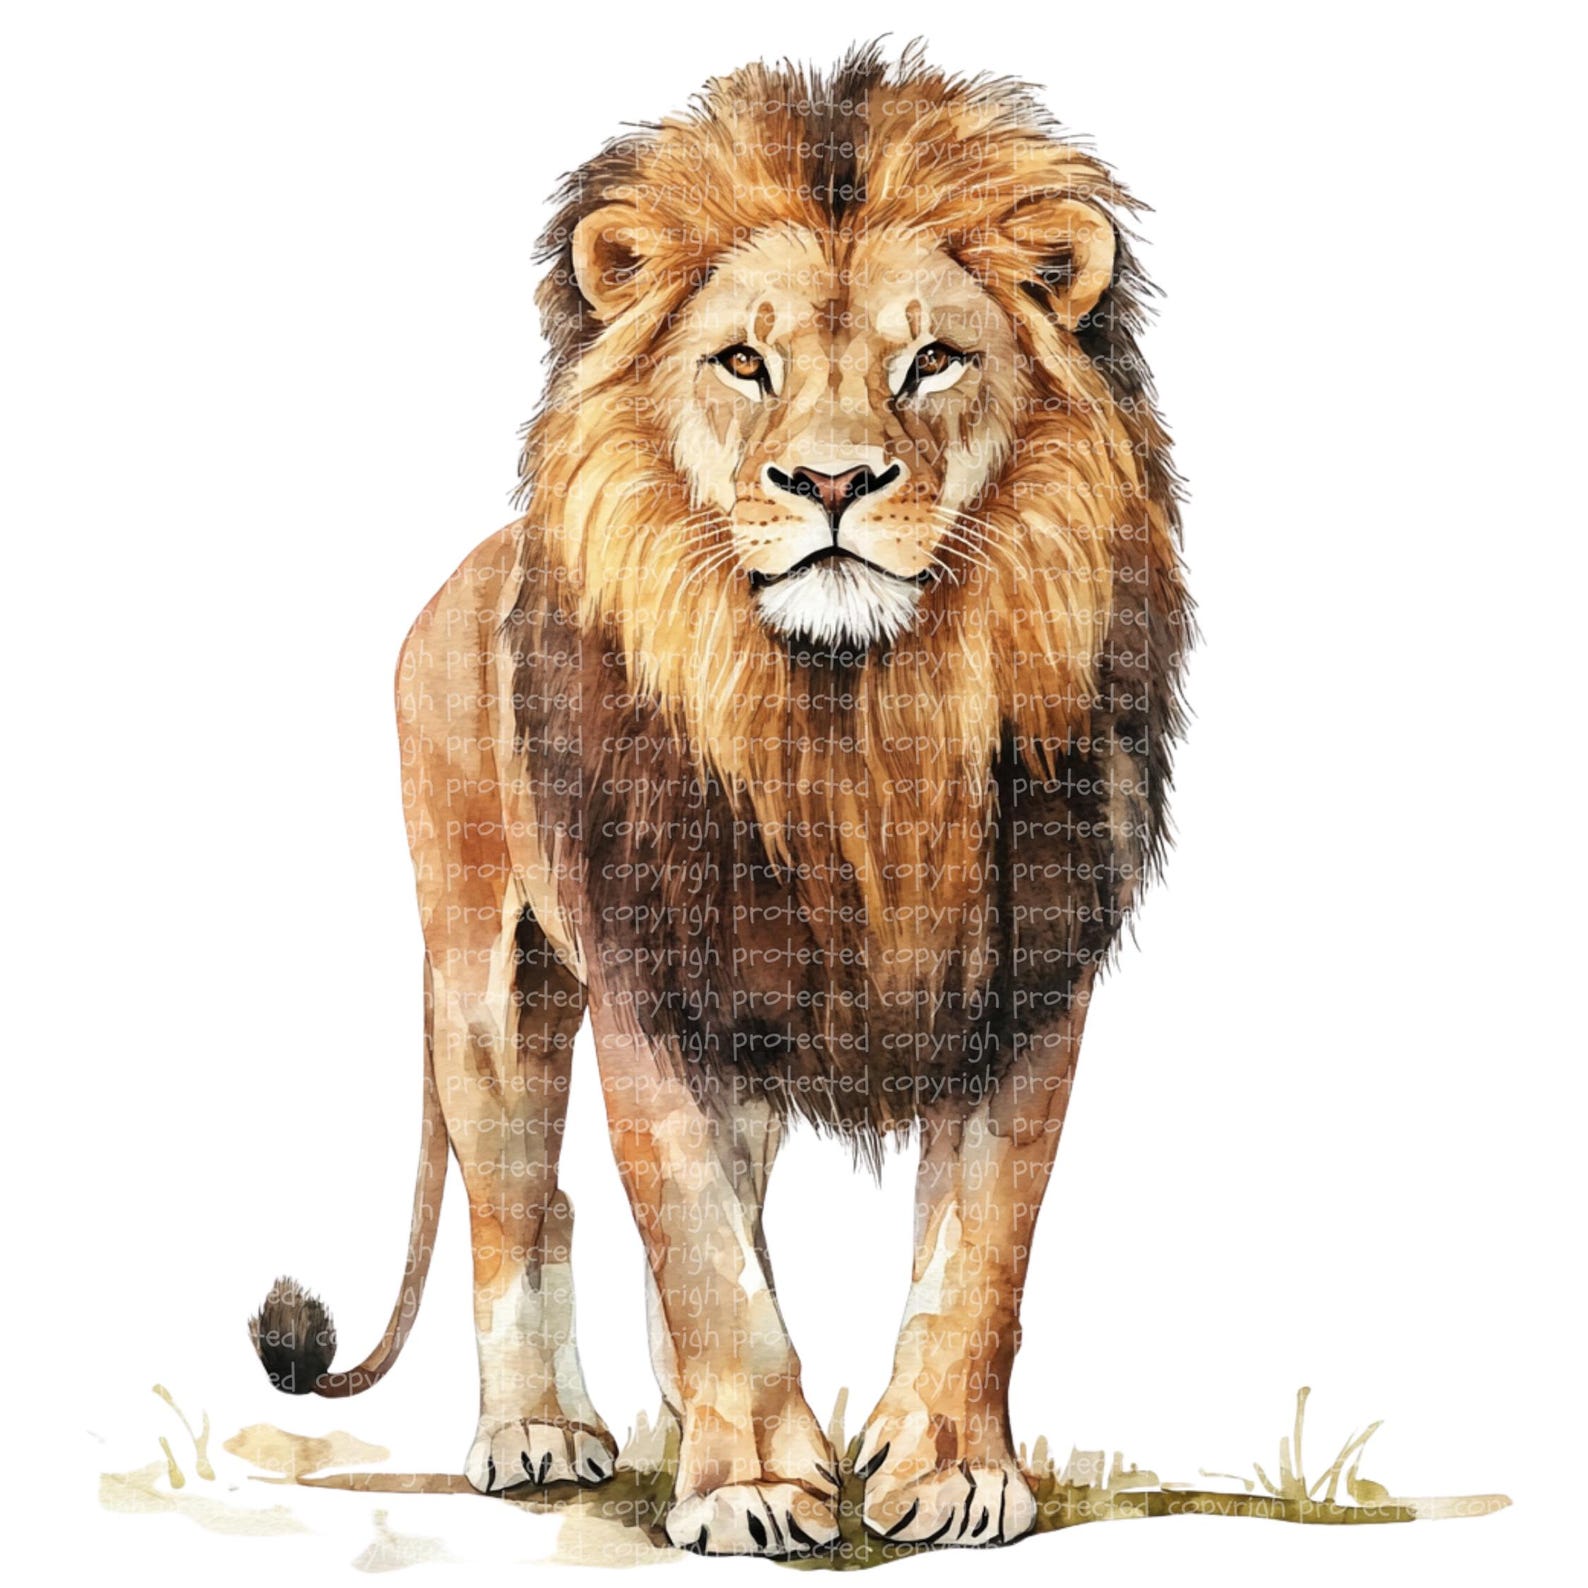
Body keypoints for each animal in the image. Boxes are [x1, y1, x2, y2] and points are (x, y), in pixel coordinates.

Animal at [250, 41, 1190, 1557]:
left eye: (934, 359)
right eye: (744, 362)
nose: (830, 481)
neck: (857, 730)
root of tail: (467, 573)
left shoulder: (1022, 979)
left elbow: (978, 1251)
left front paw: (951, 1472)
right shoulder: (651, 971)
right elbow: (697, 1247)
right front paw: (750, 1483)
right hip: (486, 976)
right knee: (531, 1206)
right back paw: (538, 1434)